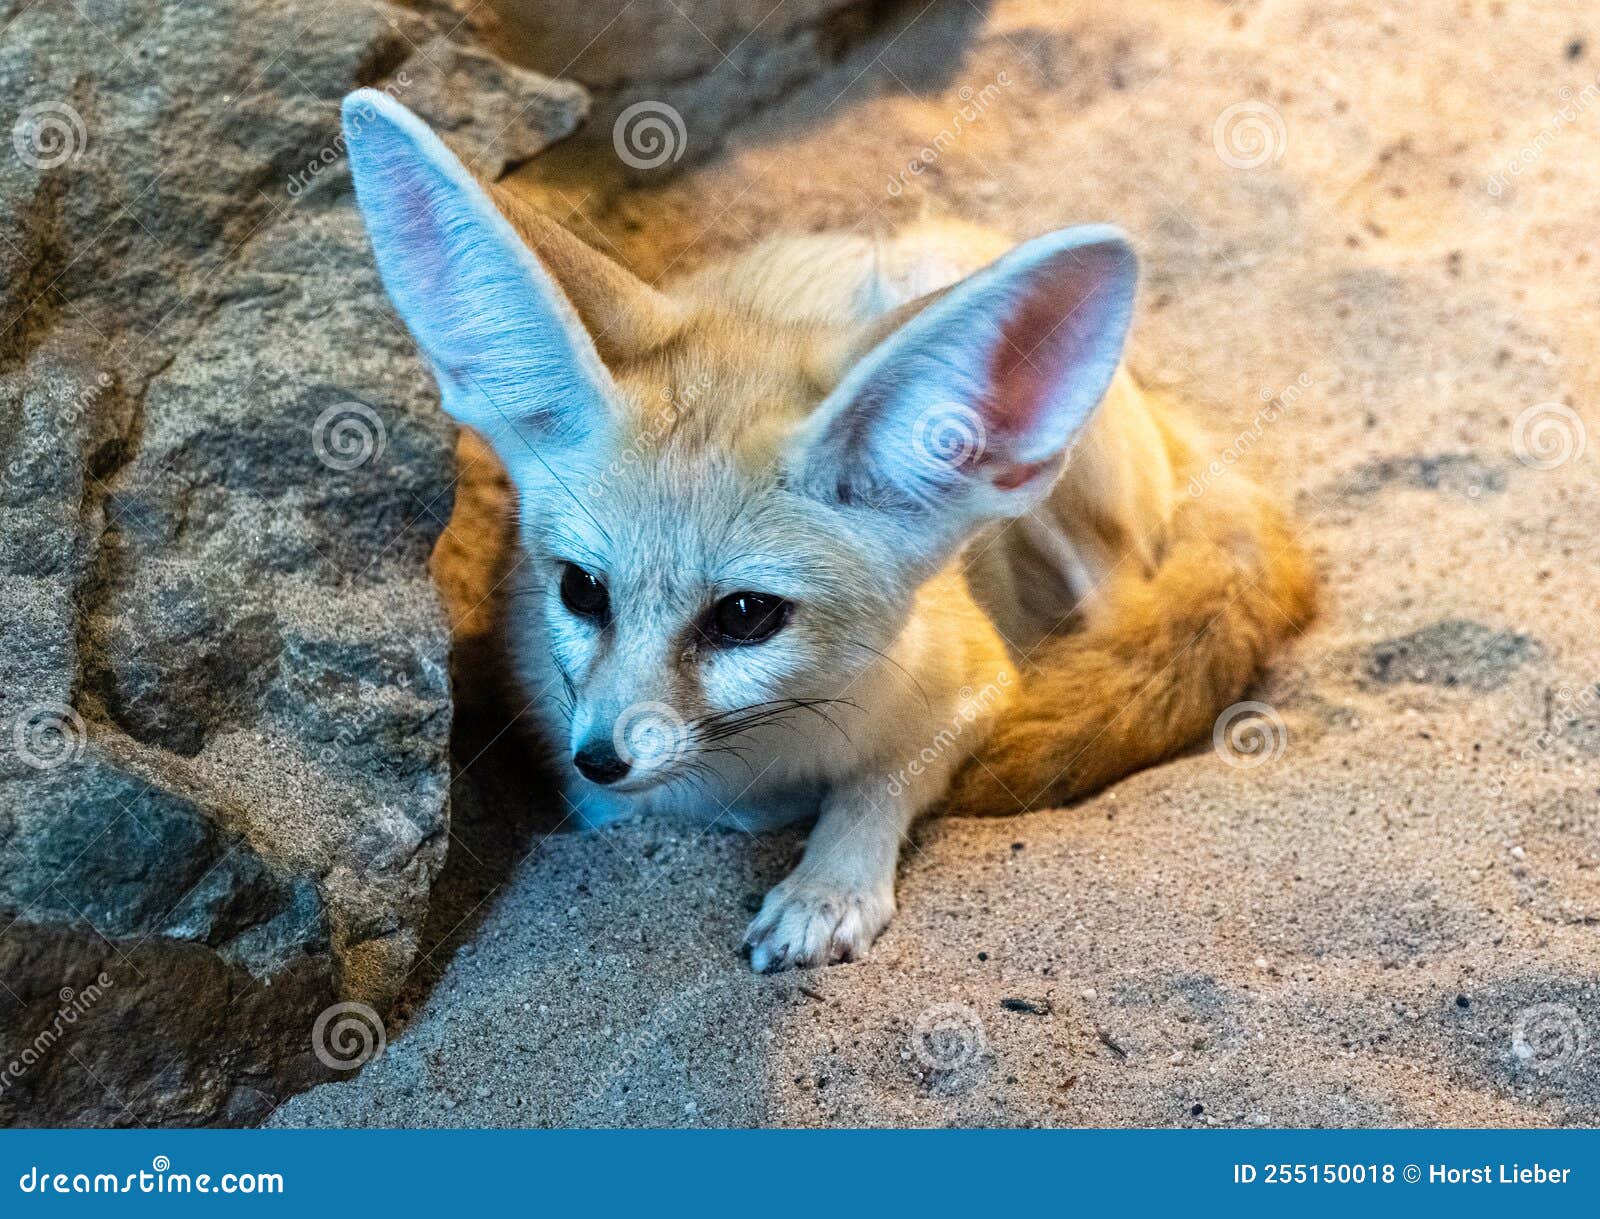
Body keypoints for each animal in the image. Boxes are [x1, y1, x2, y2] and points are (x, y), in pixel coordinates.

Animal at [341, 90, 1316, 973]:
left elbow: (877, 782)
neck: (756, 767)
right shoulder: (598, 790)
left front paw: (827, 887)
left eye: (745, 614)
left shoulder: (975, 682)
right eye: (582, 589)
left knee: (1133, 629)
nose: (601, 757)